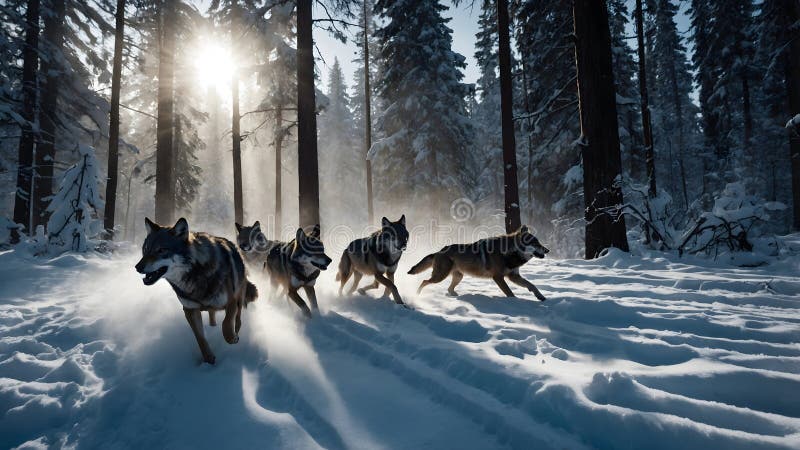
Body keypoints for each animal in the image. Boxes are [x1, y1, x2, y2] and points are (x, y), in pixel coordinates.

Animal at [135, 217, 258, 365]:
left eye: (161, 250)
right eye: (145, 249)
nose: (137, 267)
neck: (195, 275)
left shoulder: (231, 302)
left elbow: (226, 325)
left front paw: (232, 338)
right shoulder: (190, 310)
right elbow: (200, 338)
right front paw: (209, 360)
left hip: (239, 298)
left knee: (238, 318)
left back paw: (237, 332)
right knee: (212, 317)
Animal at [408, 225, 549, 300]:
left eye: (539, 242)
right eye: (535, 243)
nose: (548, 250)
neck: (509, 253)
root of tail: (438, 251)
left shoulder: (514, 276)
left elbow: (532, 285)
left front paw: (541, 297)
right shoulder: (498, 277)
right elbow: (510, 293)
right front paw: (515, 302)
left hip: (458, 276)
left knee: (448, 289)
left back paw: (455, 296)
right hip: (440, 277)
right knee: (424, 281)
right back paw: (416, 295)